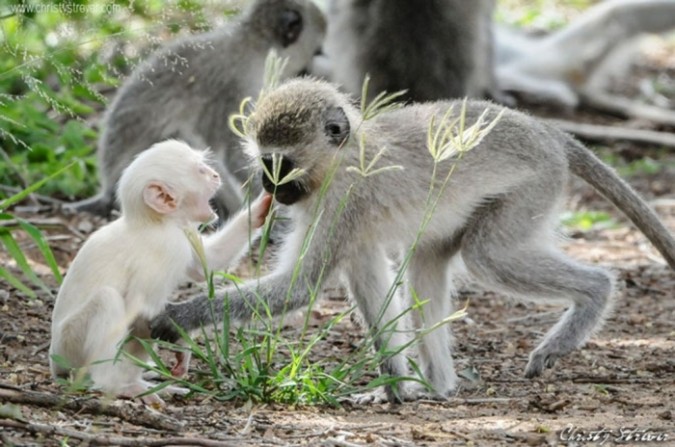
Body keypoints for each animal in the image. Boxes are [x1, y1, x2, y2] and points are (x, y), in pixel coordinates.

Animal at [50, 139, 272, 403]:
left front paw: (261, 207)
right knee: (109, 301)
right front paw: (182, 341)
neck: (154, 221)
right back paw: (116, 384)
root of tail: (54, 363)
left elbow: (206, 264)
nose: (215, 175)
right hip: (69, 344)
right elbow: (140, 308)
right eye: (200, 171)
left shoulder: (183, 231)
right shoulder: (168, 245)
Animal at [71, 0, 326, 219]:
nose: (314, 74)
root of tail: (108, 188)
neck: (252, 45)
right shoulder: (236, 86)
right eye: (317, 52)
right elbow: (235, 154)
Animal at [150, 79, 675, 403]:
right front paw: (394, 389)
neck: (346, 157)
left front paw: (174, 319)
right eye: (265, 162)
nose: (270, 187)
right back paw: (438, 386)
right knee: (424, 263)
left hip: (533, 188)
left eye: (282, 164)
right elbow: (366, 281)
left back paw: (593, 296)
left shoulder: (345, 198)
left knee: (488, 255)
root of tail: (547, 131)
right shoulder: (351, 223)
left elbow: (300, 287)